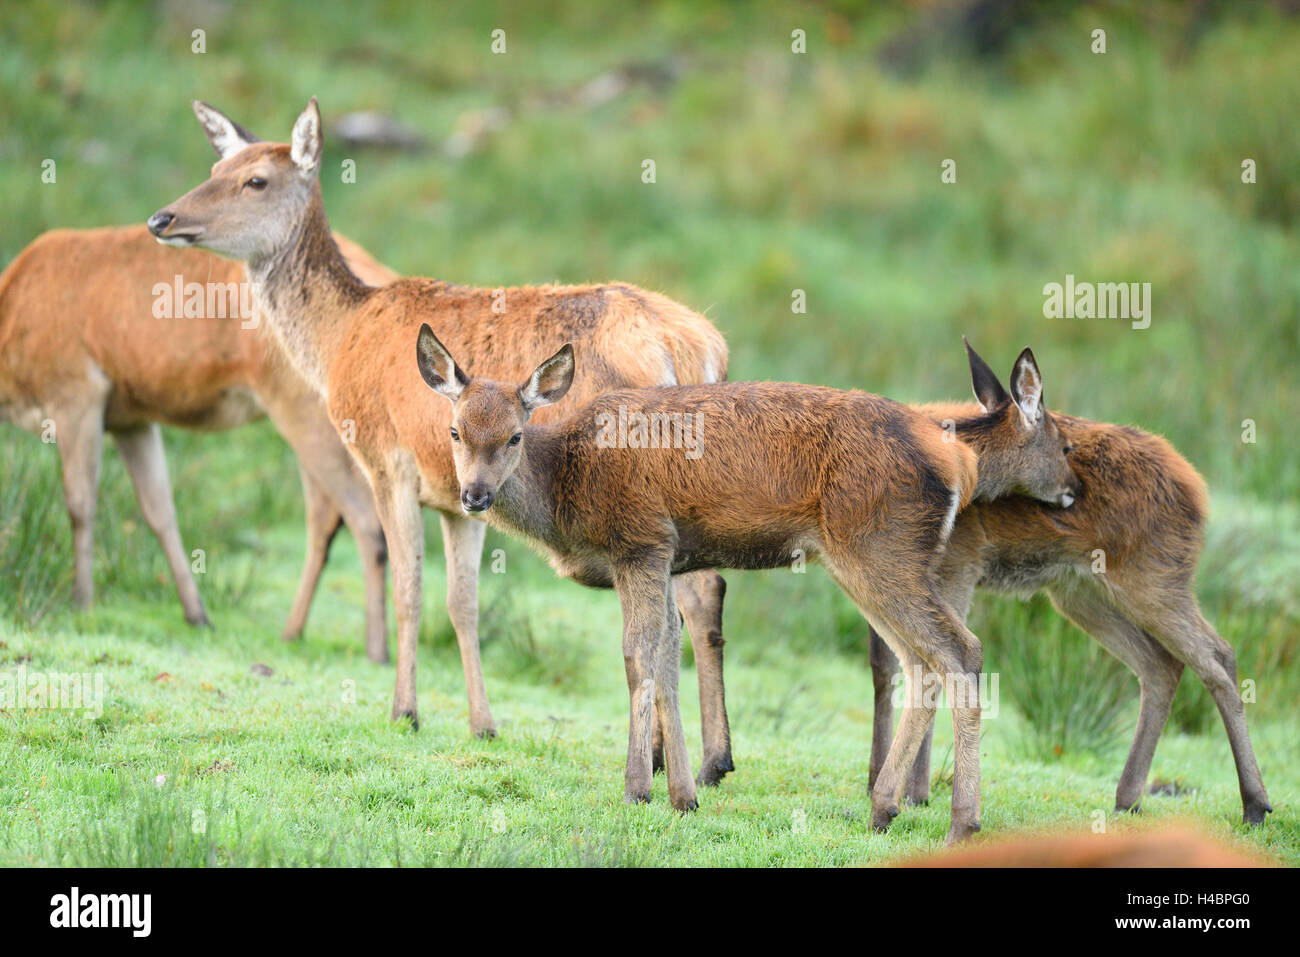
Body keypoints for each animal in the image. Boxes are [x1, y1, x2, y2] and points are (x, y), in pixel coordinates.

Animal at [0, 223, 396, 660]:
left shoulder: (76, 390)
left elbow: (79, 504)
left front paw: (81, 602)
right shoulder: (132, 418)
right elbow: (159, 511)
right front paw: (197, 615)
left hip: (301, 405)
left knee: (363, 519)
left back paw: (375, 650)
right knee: (327, 517)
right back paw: (293, 632)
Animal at [146, 98, 733, 771]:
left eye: (256, 180)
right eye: (216, 166)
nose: (162, 217)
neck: (338, 340)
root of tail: (696, 347)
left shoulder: (386, 460)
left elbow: (409, 587)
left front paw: (404, 711)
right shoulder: (460, 496)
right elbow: (463, 602)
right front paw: (483, 724)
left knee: (687, 598)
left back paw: (689, 759)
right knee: (705, 588)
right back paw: (704, 757)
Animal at [415, 326, 1079, 840]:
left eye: (514, 435)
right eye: (455, 432)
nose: (474, 496)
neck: (567, 491)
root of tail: (957, 460)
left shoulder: (641, 540)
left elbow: (638, 656)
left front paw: (637, 788)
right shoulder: (667, 556)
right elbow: (667, 655)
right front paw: (684, 795)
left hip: (876, 546)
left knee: (959, 651)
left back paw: (960, 823)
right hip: (875, 558)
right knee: (921, 662)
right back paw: (883, 808)